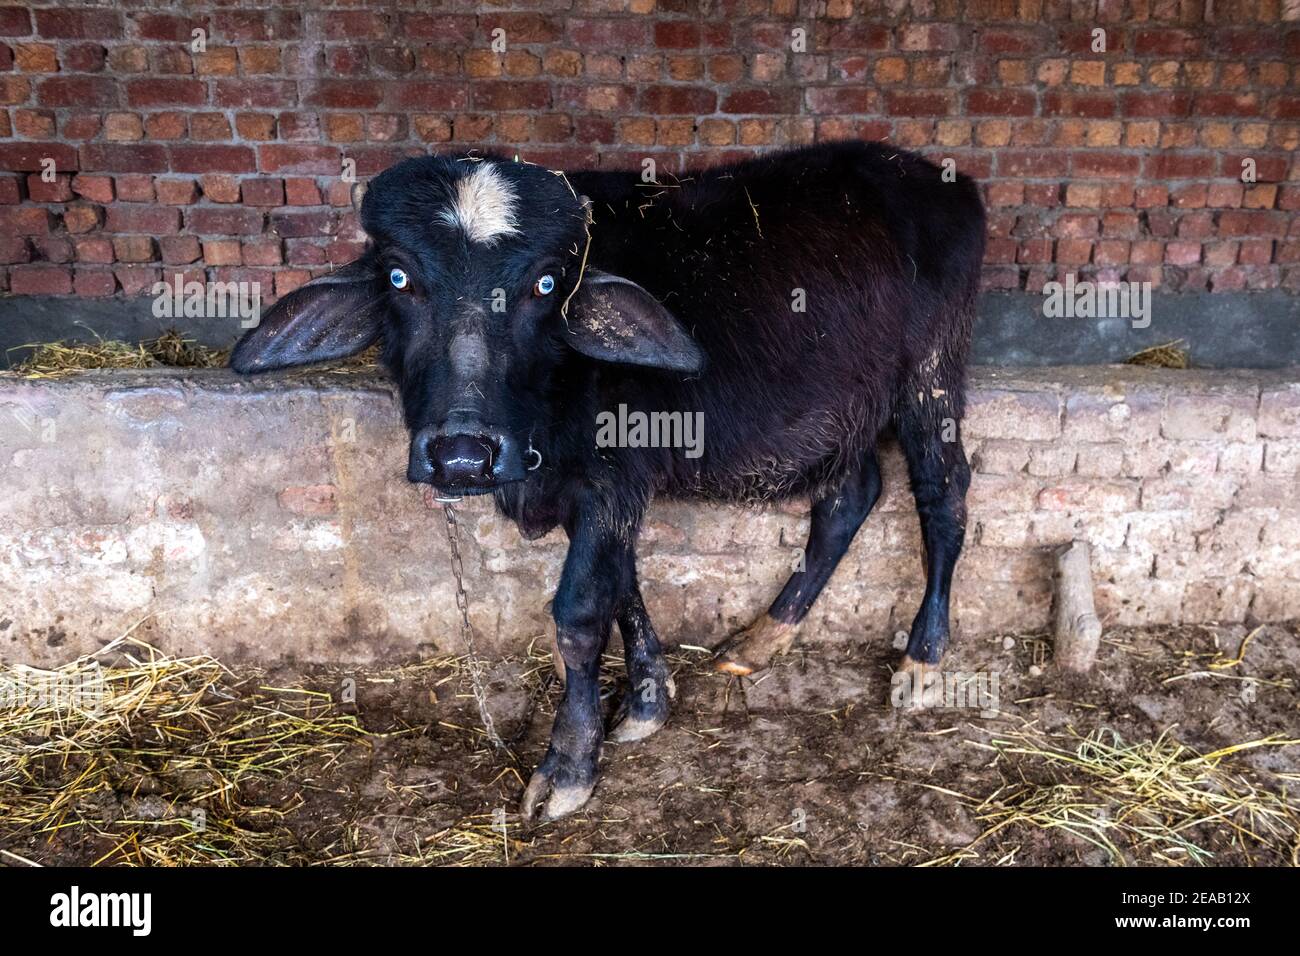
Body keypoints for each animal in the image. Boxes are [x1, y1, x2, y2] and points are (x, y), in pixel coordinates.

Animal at [230, 141, 987, 822]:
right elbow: (625, 586)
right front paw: (649, 701)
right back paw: (764, 637)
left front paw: (569, 766)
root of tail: (938, 181)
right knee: (847, 499)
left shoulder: (609, 485)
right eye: (397, 279)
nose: (463, 456)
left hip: (932, 377)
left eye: (545, 285)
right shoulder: (603, 496)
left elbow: (580, 614)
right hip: (839, 413)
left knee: (943, 496)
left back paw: (922, 661)